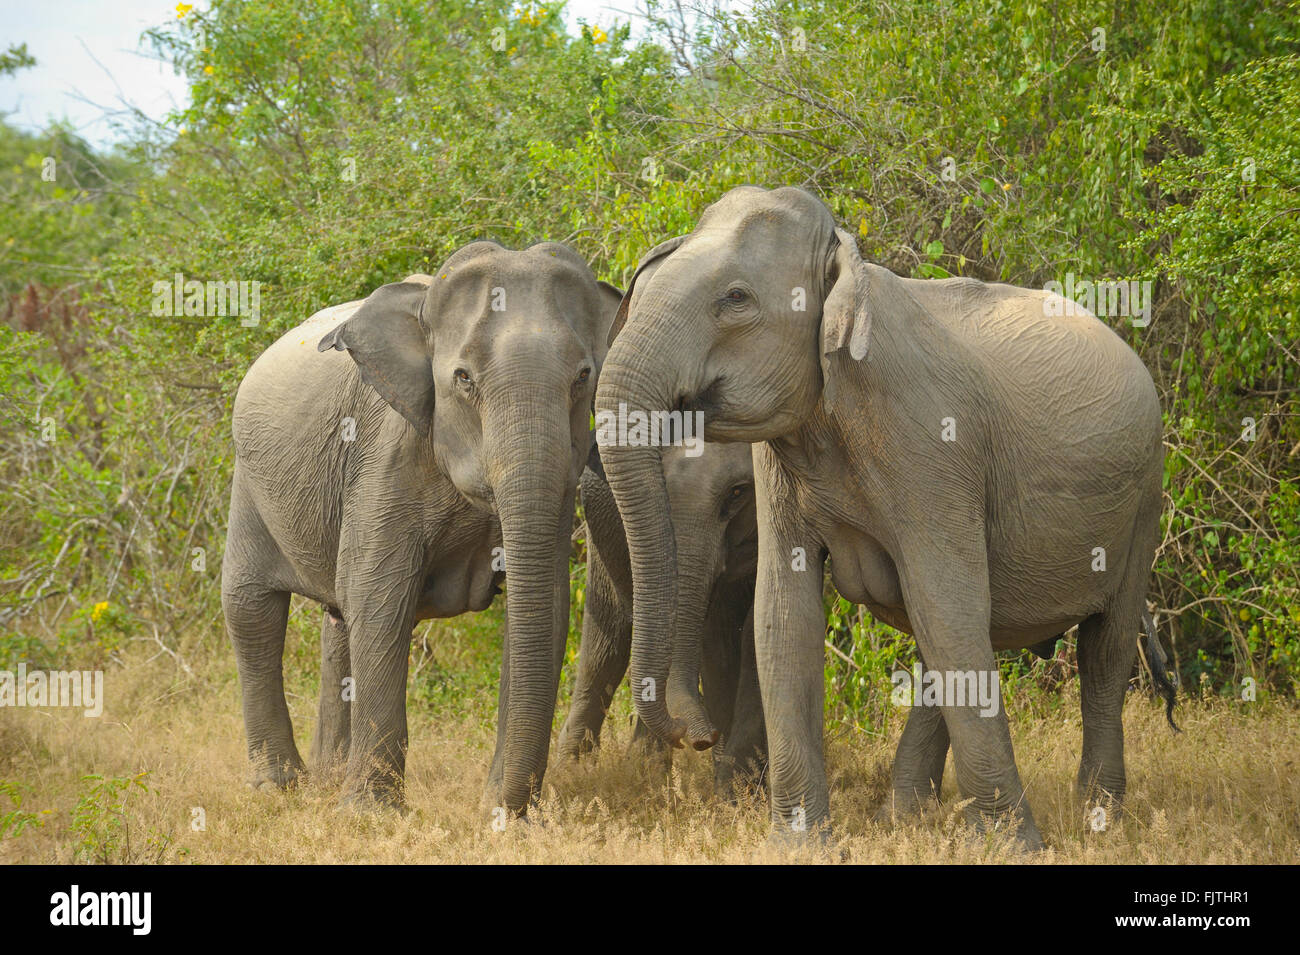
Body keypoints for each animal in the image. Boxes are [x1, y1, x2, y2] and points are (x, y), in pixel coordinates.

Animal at [222, 241, 621, 816]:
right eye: (464, 378)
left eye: (583, 377)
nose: (501, 813)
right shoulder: (383, 456)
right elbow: (380, 598)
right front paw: (370, 815)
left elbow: (544, 603)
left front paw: (501, 809)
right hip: (249, 482)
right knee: (252, 608)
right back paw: (280, 787)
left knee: (337, 617)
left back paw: (328, 776)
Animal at [557, 441, 767, 796]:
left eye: (738, 492)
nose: (701, 738)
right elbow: (717, 643)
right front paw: (734, 796)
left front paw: (740, 793)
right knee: (607, 642)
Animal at [594, 185, 1177, 849]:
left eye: (735, 299)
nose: (699, 737)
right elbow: (785, 615)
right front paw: (800, 845)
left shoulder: (934, 450)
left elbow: (946, 605)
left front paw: (1017, 848)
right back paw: (904, 818)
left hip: (1144, 497)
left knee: (1101, 649)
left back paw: (1097, 820)